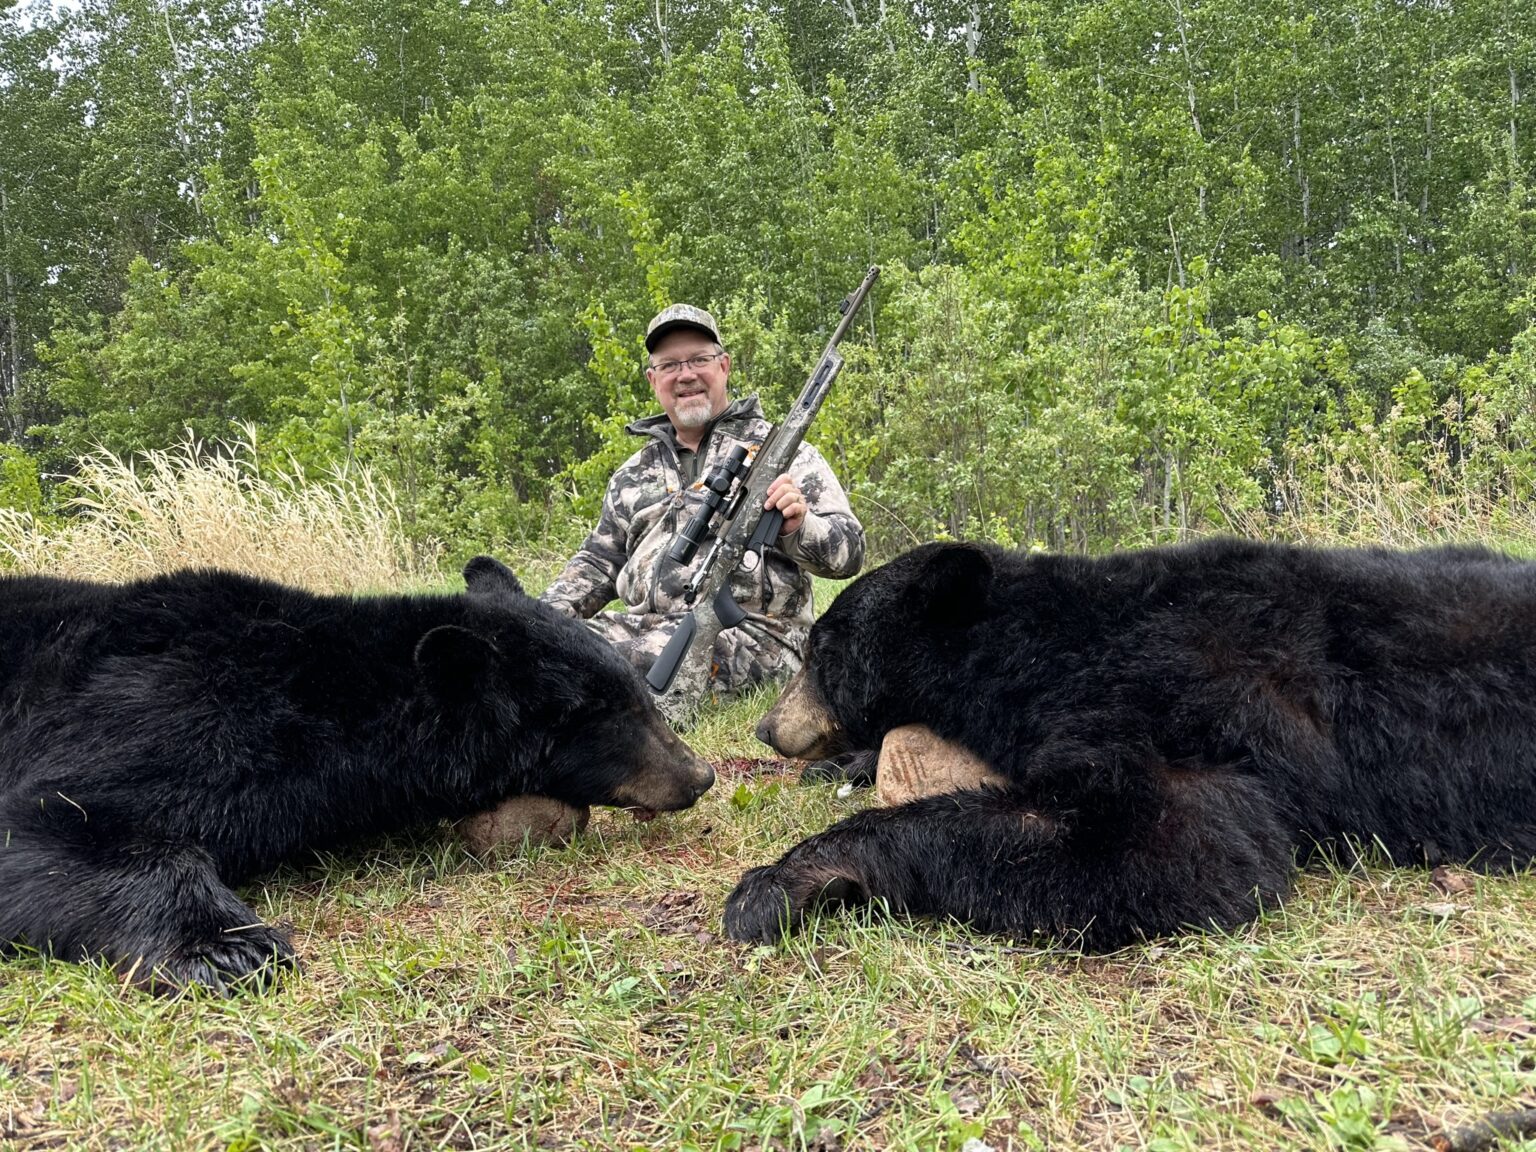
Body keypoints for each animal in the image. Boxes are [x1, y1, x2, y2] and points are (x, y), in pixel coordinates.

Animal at [0, 555, 714, 993]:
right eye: (611, 714)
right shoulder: (160, 711)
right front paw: (232, 948)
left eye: (638, 694)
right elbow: (52, 822)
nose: (699, 775)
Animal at [725, 537, 1536, 946]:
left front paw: (782, 882)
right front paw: (847, 764)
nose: (766, 727)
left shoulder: (1172, 702)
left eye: (820, 650)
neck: (1040, 645)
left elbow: (1172, 848)